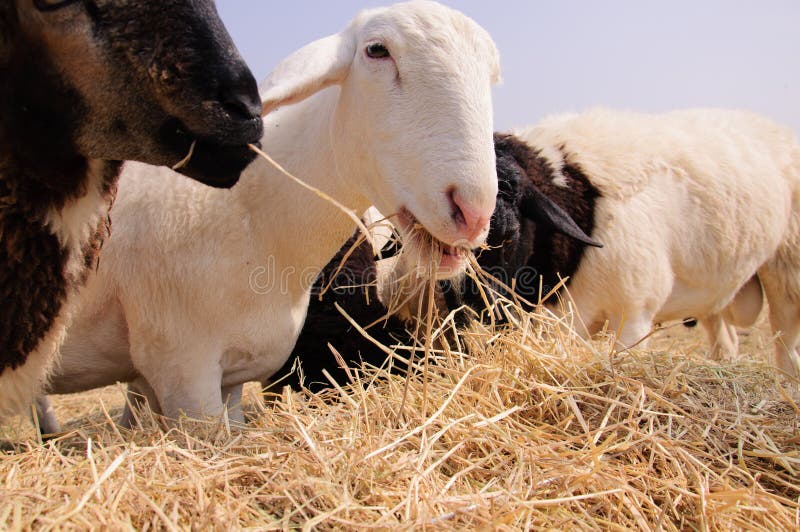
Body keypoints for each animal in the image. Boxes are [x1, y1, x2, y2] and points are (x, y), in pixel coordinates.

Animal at [35, 0, 501, 428]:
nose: (472, 212)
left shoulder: (233, 375)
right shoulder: (181, 367)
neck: (255, 218)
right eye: (376, 50)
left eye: (493, 76)